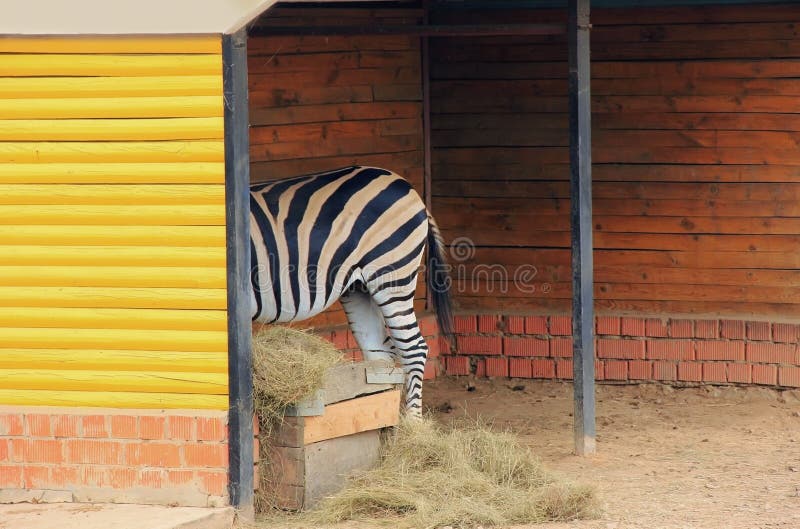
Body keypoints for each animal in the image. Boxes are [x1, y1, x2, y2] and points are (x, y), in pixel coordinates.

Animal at [249, 166, 453, 416]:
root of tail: (405, 184)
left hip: (392, 274)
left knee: (414, 348)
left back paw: (412, 424)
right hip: (359, 288)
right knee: (379, 352)